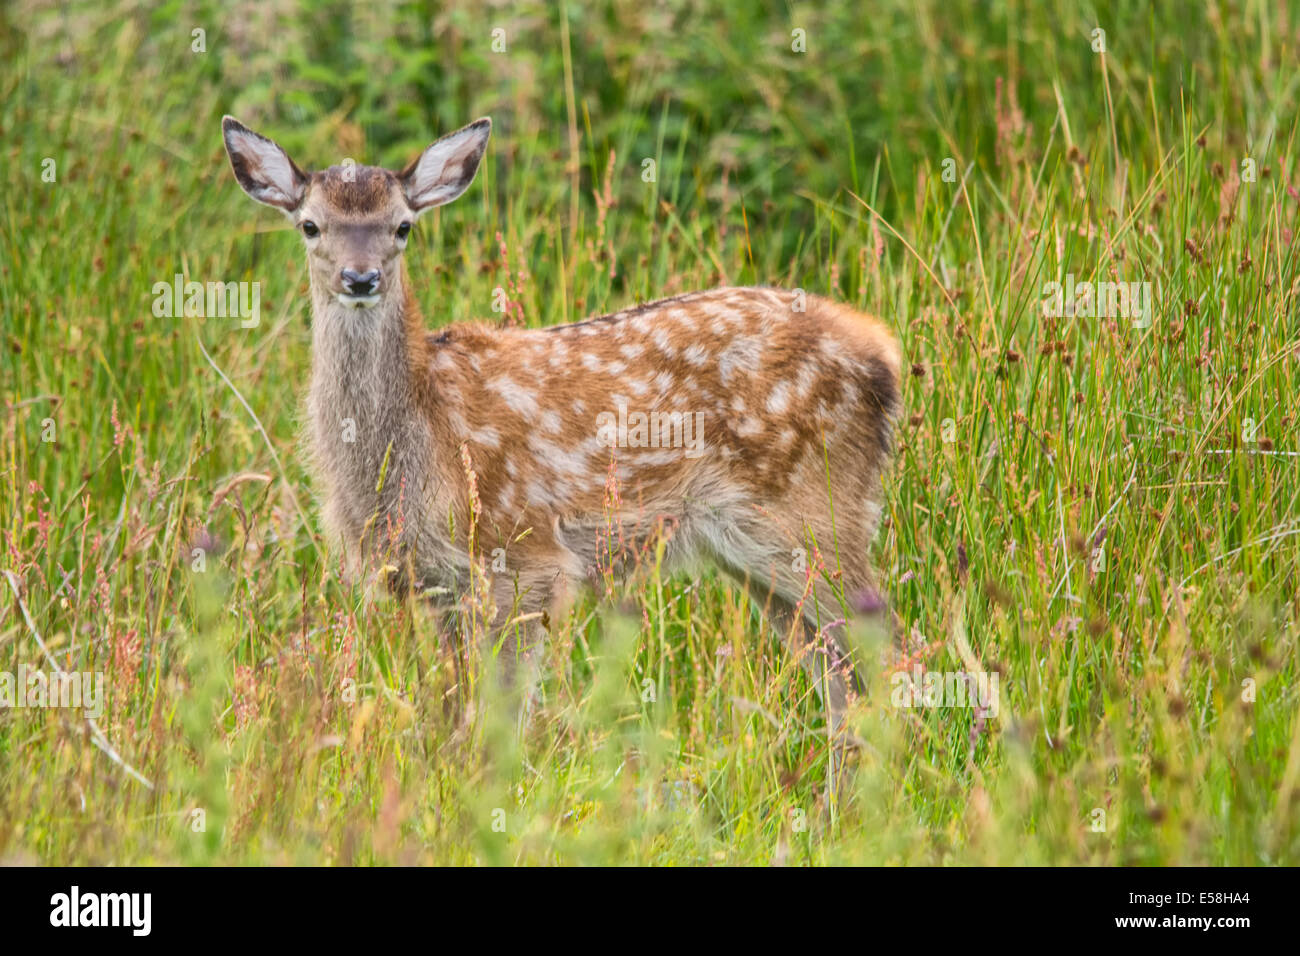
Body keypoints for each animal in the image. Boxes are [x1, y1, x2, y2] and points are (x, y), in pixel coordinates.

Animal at [221, 115, 902, 759]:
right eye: (311, 226)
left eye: (403, 226)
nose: (359, 278)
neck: (424, 437)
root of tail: (883, 354)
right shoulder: (436, 582)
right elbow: (451, 713)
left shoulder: (525, 557)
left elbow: (502, 719)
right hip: (759, 553)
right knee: (840, 675)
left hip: (815, 512)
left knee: (889, 651)